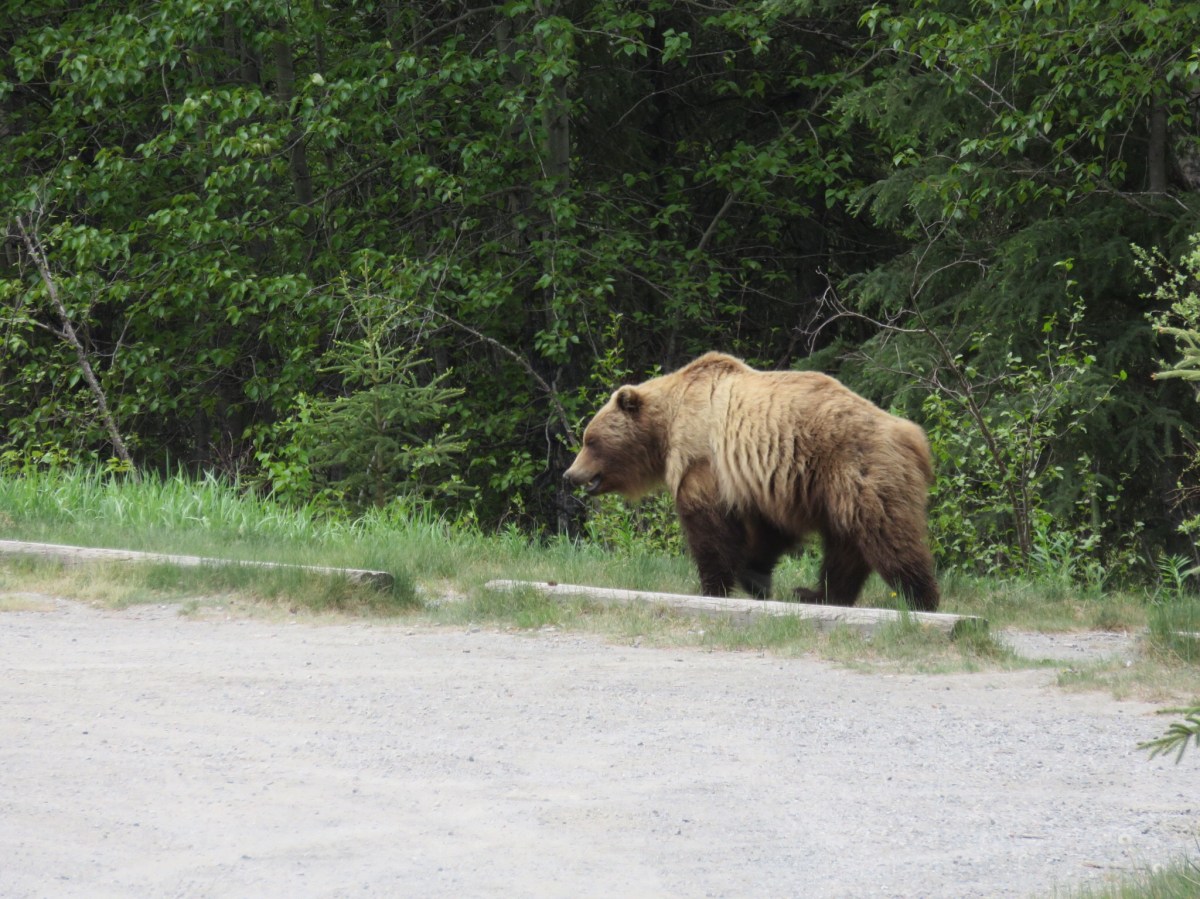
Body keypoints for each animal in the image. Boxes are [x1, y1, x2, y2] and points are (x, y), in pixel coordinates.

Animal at [563, 351, 940, 611]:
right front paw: (755, 578)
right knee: (846, 545)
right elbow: (769, 531)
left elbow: (708, 525)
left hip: (858, 468)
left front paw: (712, 587)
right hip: (835, 488)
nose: (570, 474)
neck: (666, 427)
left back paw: (921, 599)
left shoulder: (704, 457)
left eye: (590, 440)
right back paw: (818, 595)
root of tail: (913, 437)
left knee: (886, 533)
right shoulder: (771, 480)